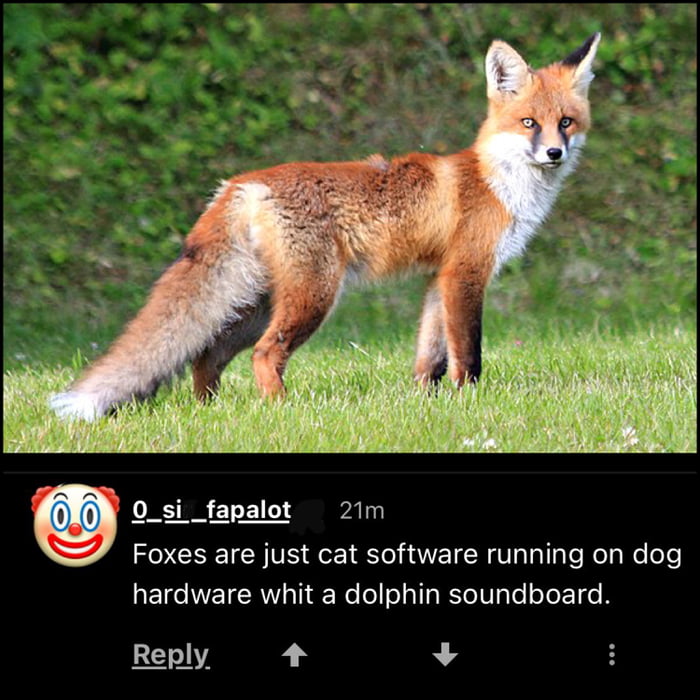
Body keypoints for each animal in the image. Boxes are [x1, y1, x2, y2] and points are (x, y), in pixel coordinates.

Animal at [50, 33, 600, 421]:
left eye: (566, 122)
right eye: (529, 124)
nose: (555, 153)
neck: (497, 181)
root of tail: (243, 183)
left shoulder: (436, 278)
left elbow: (429, 359)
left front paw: (426, 404)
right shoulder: (465, 273)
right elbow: (469, 354)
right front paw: (470, 403)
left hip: (257, 304)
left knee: (205, 356)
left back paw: (213, 414)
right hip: (311, 297)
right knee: (263, 355)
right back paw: (280, 411)